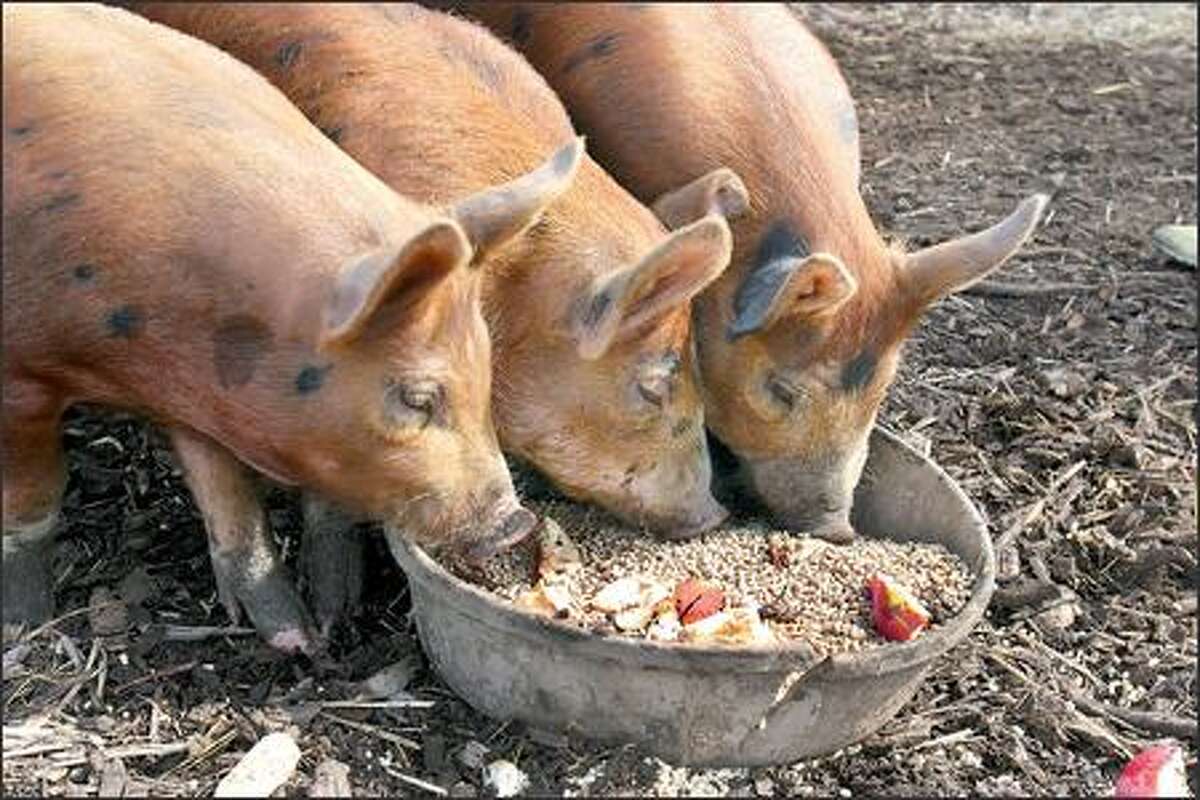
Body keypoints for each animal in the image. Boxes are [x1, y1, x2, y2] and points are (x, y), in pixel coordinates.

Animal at [1, 3, 566, 652]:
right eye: (416, 397)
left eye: (487, 367)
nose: (514, 522)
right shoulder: (19, 379)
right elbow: (32, 503)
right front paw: (22, 625)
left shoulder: (192, 391)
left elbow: (228, 495)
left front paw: (301, 635)